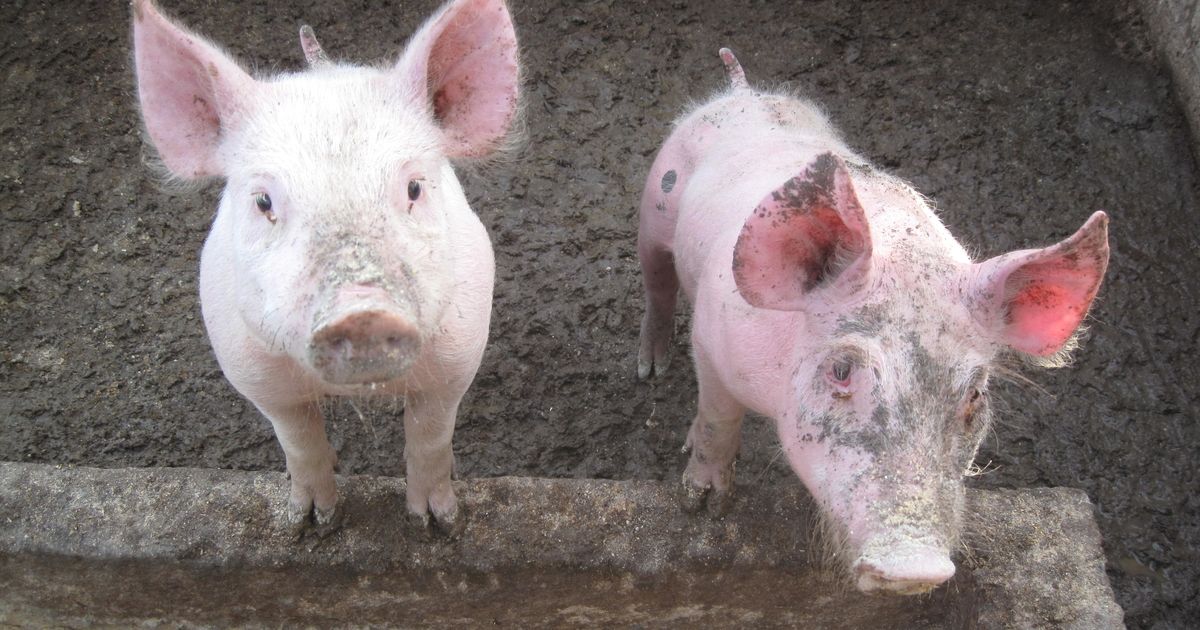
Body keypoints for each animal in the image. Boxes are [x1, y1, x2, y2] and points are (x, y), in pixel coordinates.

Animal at [131, 0, 520, 536]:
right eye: (263, 201)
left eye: (414, 188)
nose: (362, 314)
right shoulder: (251, 371)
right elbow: (298, 442)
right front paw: (310, 524)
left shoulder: (459, 355)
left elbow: (430, 437)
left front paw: (438, 524)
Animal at [636, 49, 1109, 594]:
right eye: (842, 370)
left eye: (975, 393)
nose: (913, 568)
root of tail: (742, 91)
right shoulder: (711, 344)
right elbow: (718, 420)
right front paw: (704, 506)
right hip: (655, 202)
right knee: (657, 281)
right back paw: (651, 366)